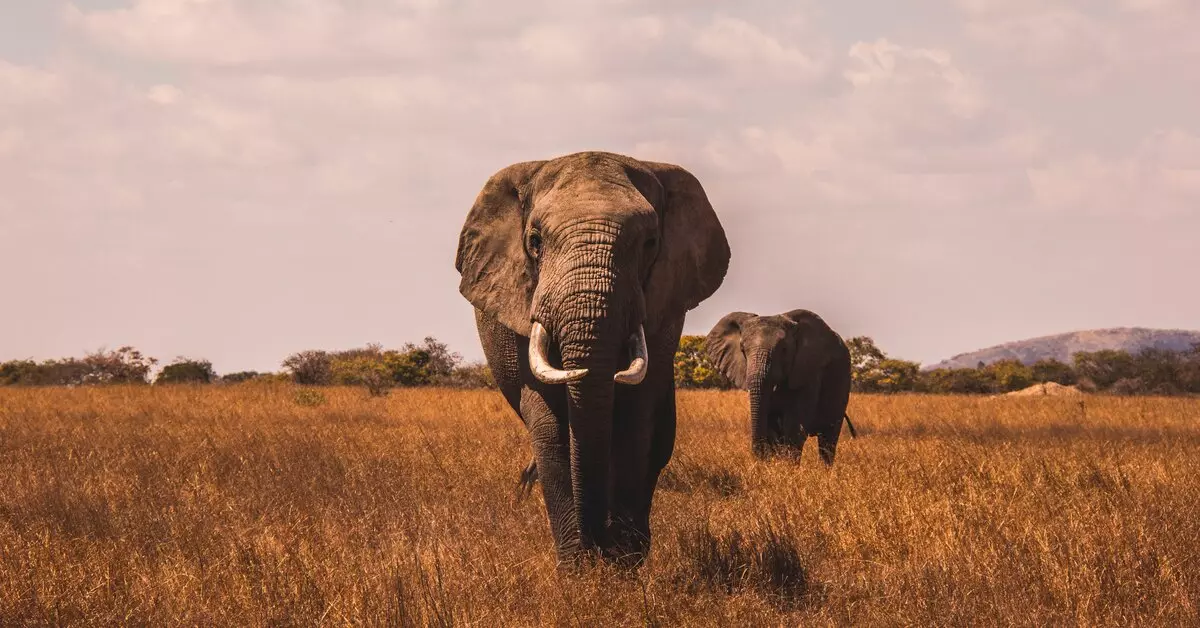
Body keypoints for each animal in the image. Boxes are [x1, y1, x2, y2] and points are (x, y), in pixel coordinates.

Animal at [451, 151, 724, 564]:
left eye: (650, 243)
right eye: (535, 241)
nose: (600, 544)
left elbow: (635, 421)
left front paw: (623, 564)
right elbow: (550, 427)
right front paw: (579, 569)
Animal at [705, 307, 859, 461]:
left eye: (784, 349)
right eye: (742, 350)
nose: (758, 456)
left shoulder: (809, 372)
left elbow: (795, 427)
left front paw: (788, 466)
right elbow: (772, 427)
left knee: (828, 439)